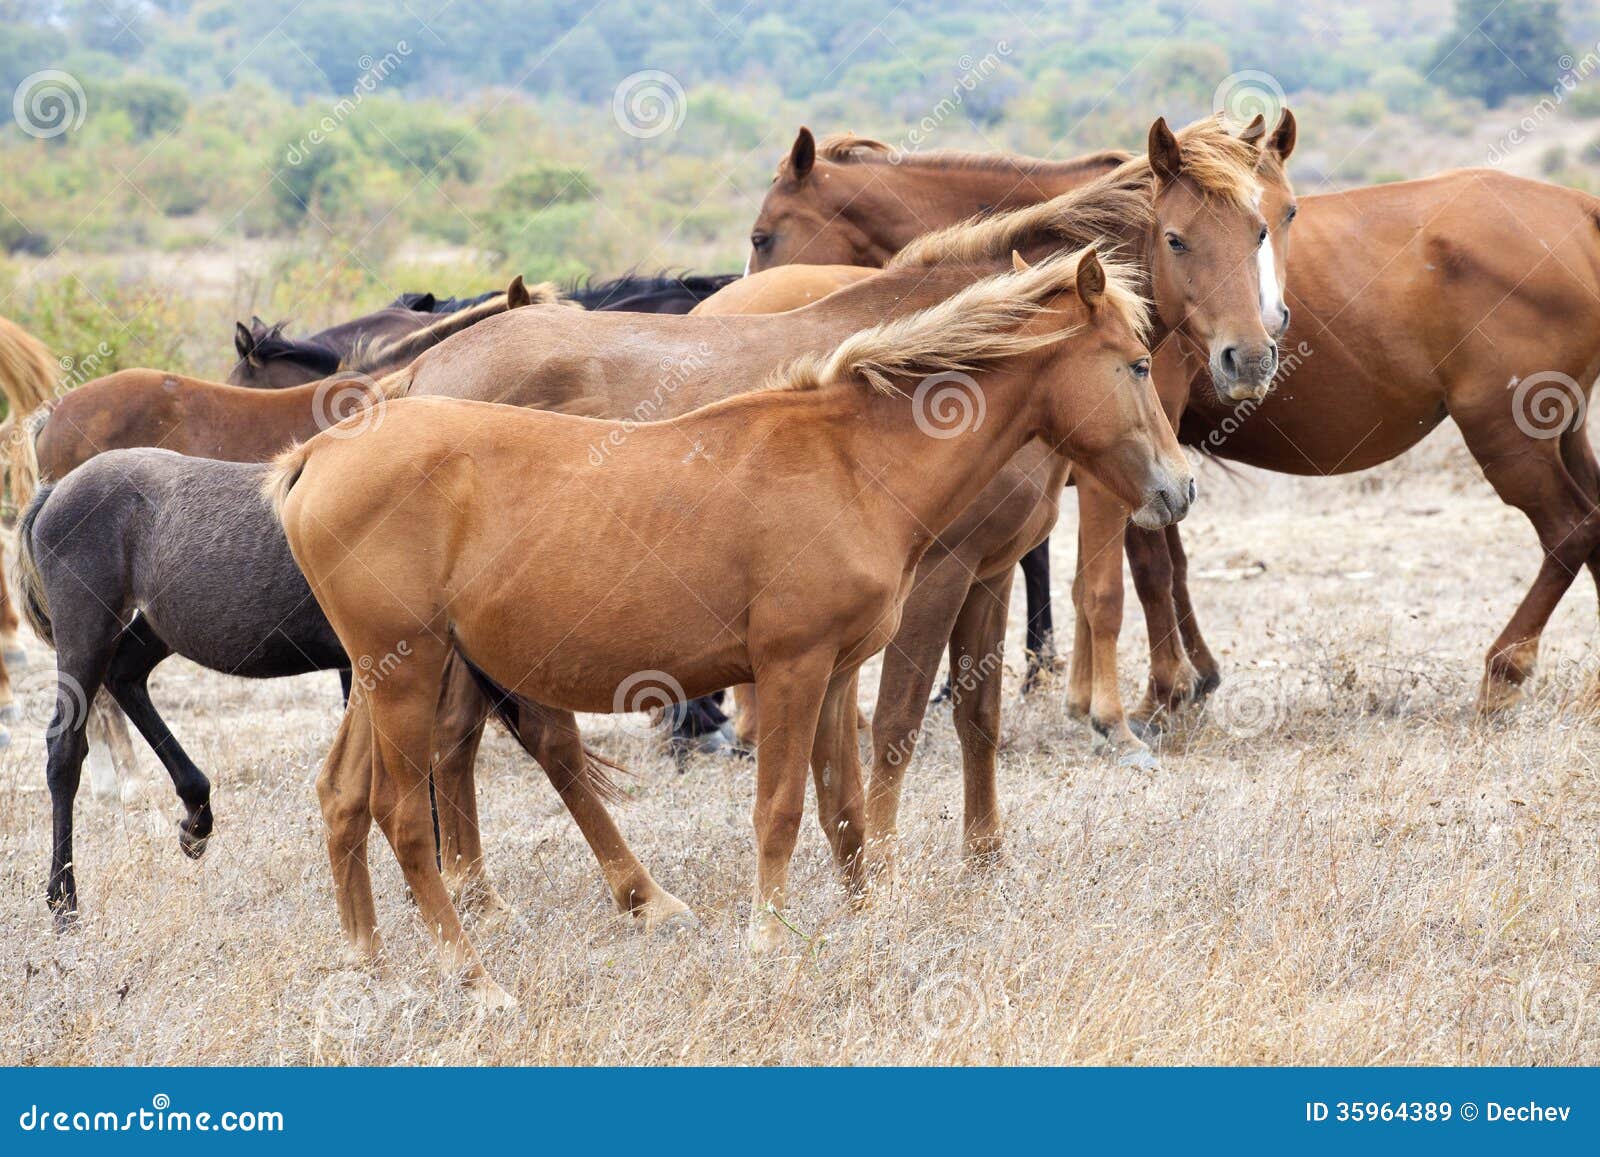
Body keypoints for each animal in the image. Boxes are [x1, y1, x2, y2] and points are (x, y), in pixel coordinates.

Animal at [270, 249, 1189, 1001]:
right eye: (1137, 362)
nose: (1178, 489)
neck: (853, 461)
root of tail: (320, 454)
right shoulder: (792, 666)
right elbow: (780, 808)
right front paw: (767, 944)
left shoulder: (837, 673)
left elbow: (844, 809)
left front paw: (867, 926)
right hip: (409, 676)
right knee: (402, 815)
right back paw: (476, 978)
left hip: (391, 674)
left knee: (344, 797)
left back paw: (369, 961)